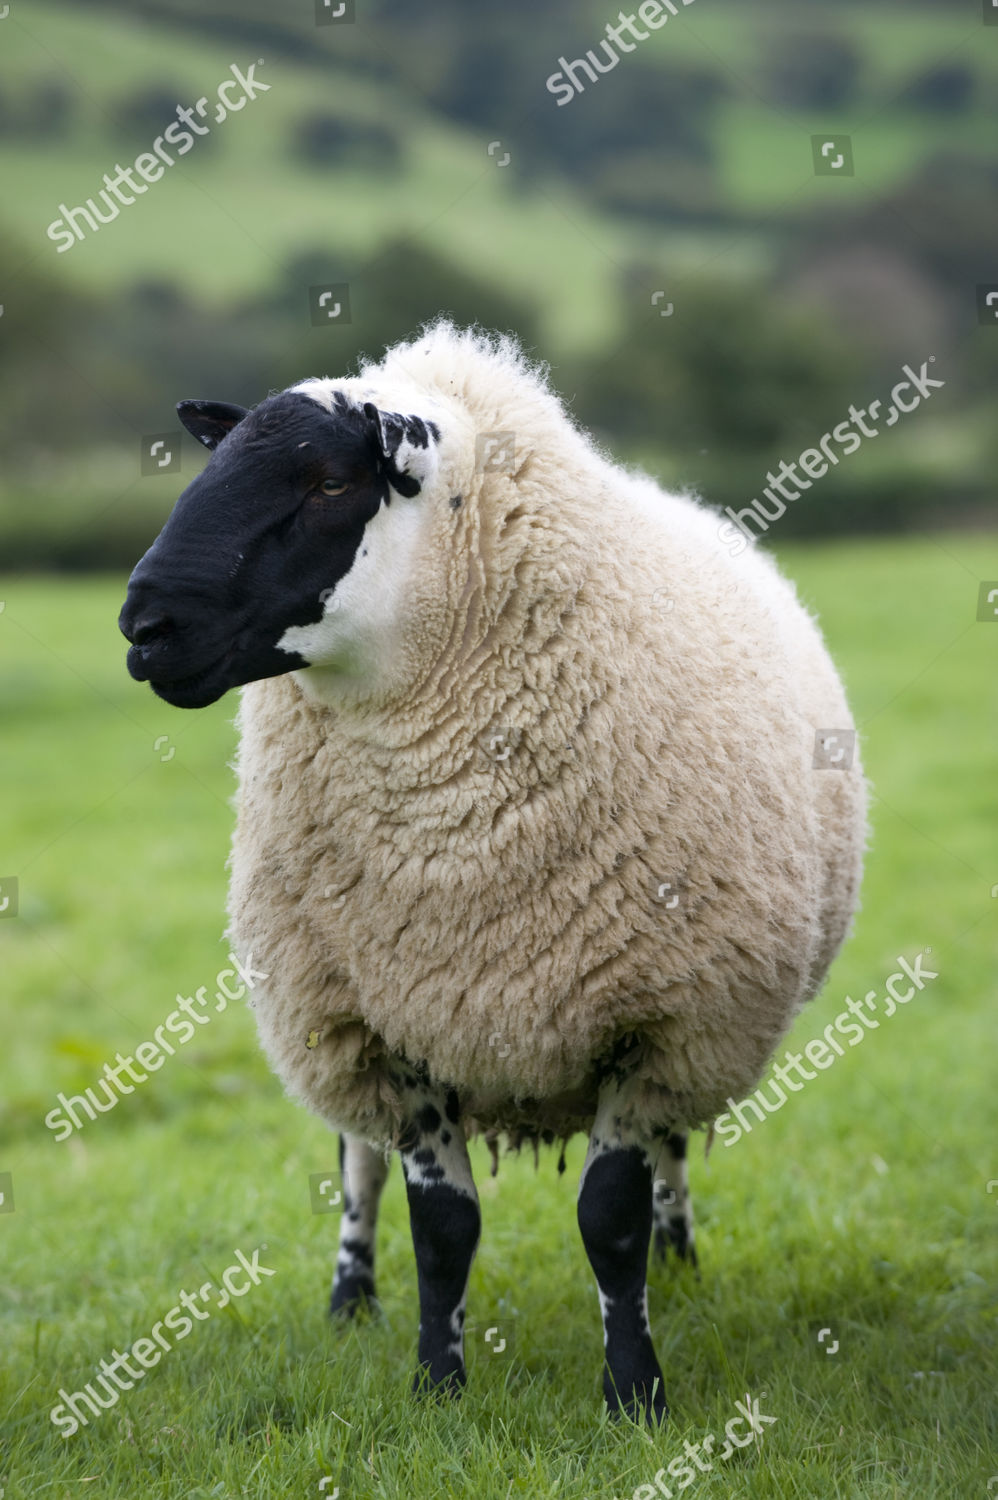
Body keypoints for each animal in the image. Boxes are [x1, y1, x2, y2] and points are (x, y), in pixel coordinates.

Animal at [119, 322, 867, 1422]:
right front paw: (437, 1387)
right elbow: (441, 1227)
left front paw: (634, 1392)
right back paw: (349, 1300)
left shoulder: (653, 1014)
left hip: (695, 1019)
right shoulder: (391, 1018)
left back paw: (678, 1259)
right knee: (356, 1164)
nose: (143, 628)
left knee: (665, 1155)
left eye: (329, 483)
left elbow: (608, 1216)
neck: (454, 841)